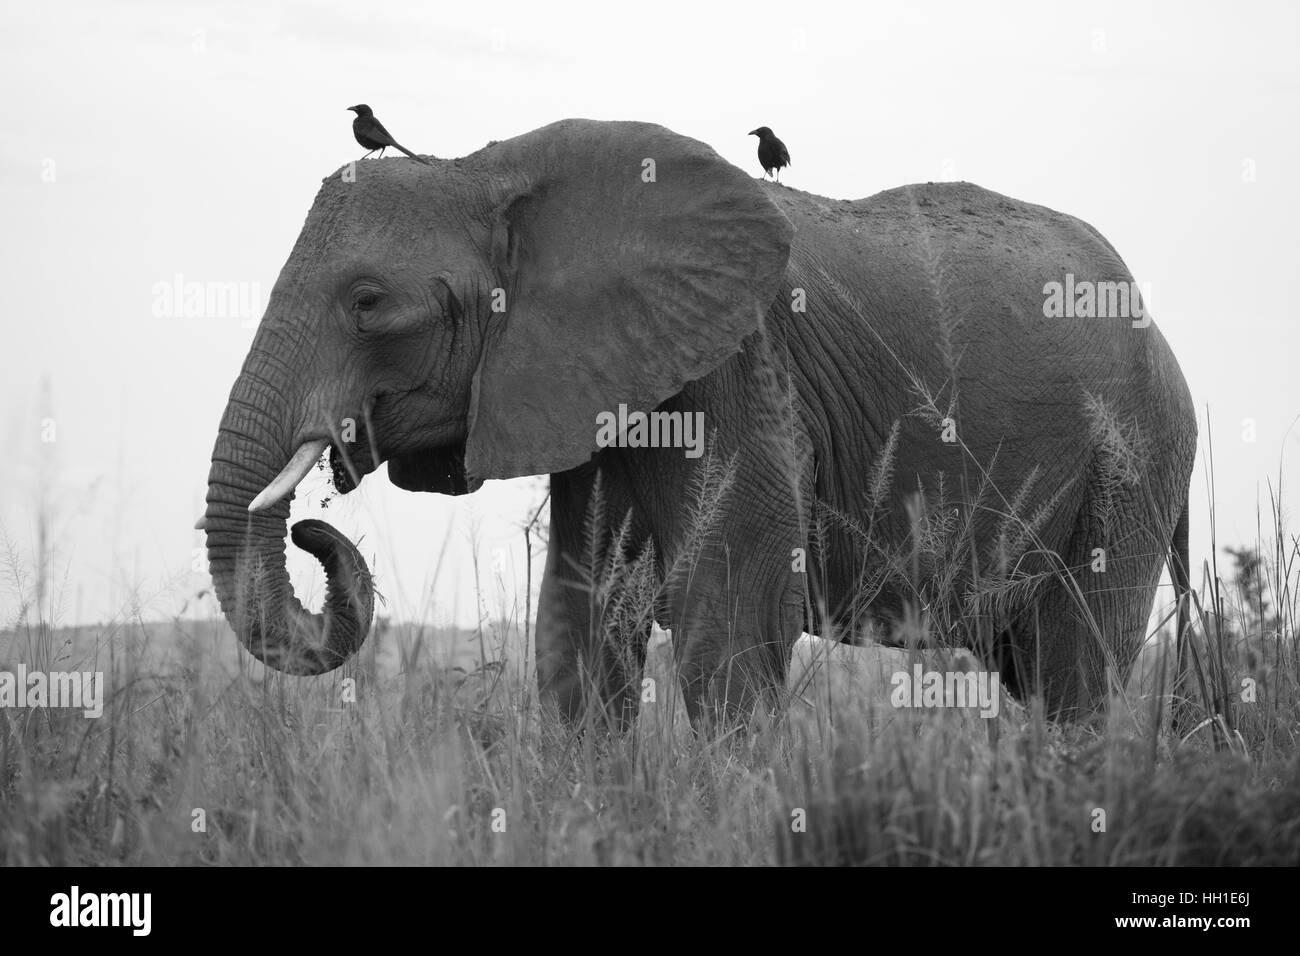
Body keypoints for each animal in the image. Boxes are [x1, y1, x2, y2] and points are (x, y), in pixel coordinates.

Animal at [199, 118, 1196, 729]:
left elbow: (730, 618)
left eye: (368, 303)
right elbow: (579, 621)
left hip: (1136, 457)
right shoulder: (599, 384)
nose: (320, 523)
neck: (495, 171)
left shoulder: (734, 369)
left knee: (1077, 668)